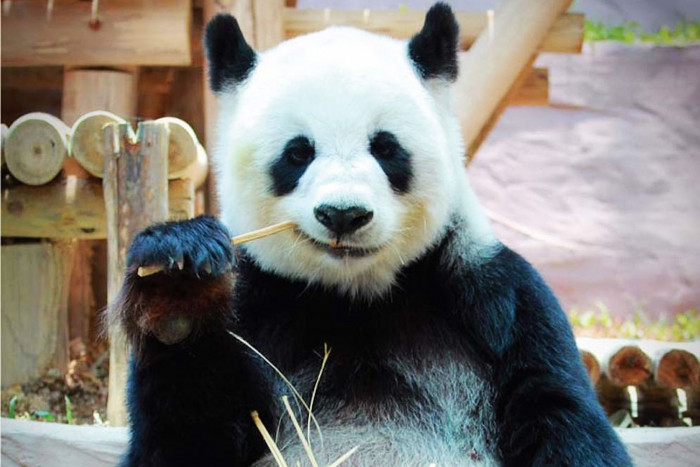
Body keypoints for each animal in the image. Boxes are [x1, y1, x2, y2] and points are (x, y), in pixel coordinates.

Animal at [110, 3, 631, 466]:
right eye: (298, 153)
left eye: (385, 148)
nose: (343, 214)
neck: (354, 295)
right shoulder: (257, 306)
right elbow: (185, 438)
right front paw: (178, 287)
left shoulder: (496, 302)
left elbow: (562, 414)